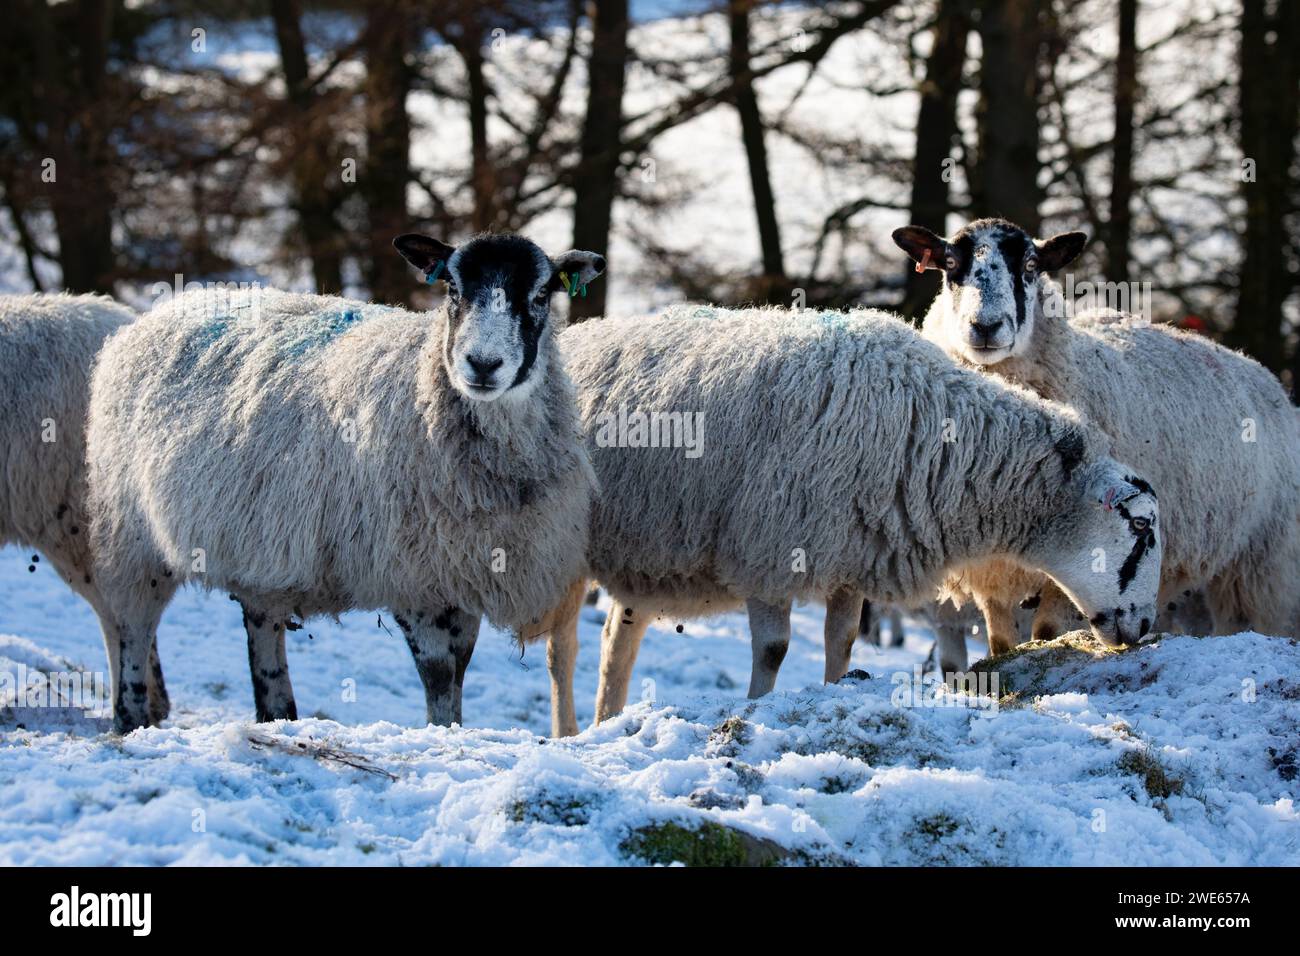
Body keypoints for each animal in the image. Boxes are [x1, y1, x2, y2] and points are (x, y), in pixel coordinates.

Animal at [85, 233, 603, 734]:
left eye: (541, 294)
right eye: (453, 290)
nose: (482, 364)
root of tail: (154, 316)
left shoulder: (460, 569)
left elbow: (460, 669)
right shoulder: (413, 577)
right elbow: (438, 675)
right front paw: (442, 735)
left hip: (261, 546)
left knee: (261, 628)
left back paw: (278, 716)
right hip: (131, 532)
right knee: (132, 626)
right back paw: (131, 717)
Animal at [544, 306, 1165, 733]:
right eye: (1140, 525)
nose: (1143, 628)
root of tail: (582, 332)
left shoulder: (852, 552)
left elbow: (841, 641)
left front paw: (834, 688)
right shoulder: (771, 545)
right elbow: (774, 650)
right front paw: (756, 708)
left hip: (647, 552)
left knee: (615, 641)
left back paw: (606, 722)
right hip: (557, 545)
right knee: (561, 650)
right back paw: (568, 732)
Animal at [894, 217, 1300, 644]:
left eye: (1031, 266)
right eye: (950, 263)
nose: (986, 326)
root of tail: (1262, 373)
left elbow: (1047, 632)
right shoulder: (993, 569)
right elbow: (1001, 643)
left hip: (1261, 561)